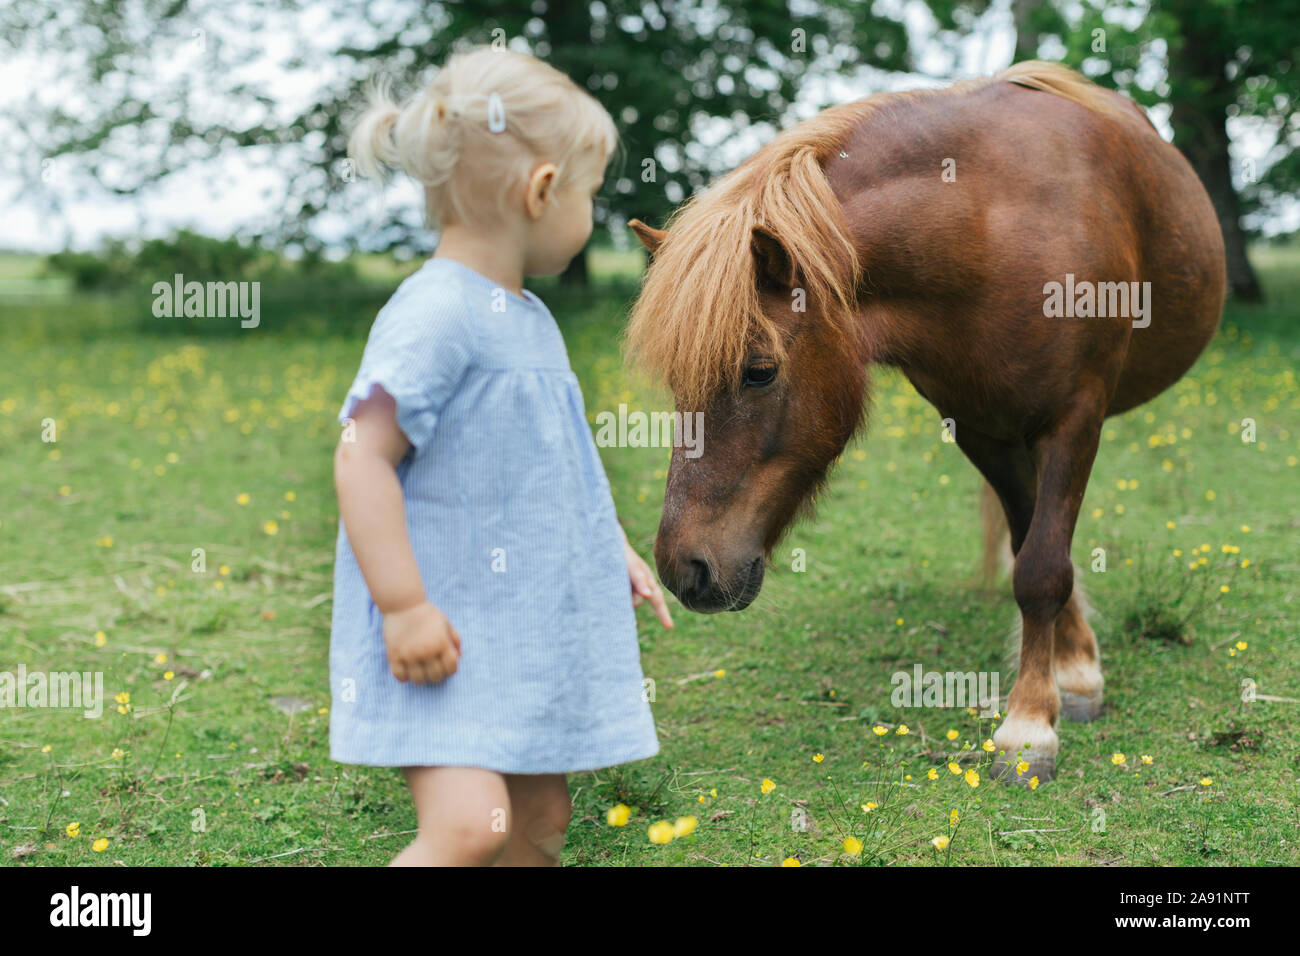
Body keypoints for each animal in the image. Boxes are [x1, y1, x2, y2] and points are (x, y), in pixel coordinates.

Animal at [624, 61, 1226, 785]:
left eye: (759, 372)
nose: (683, 568)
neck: (992, 231)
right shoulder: (981, 430)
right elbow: (1032, 547)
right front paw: (1070, 675)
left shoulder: (1074, 419)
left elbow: (1042, 568)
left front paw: (1030, 727)